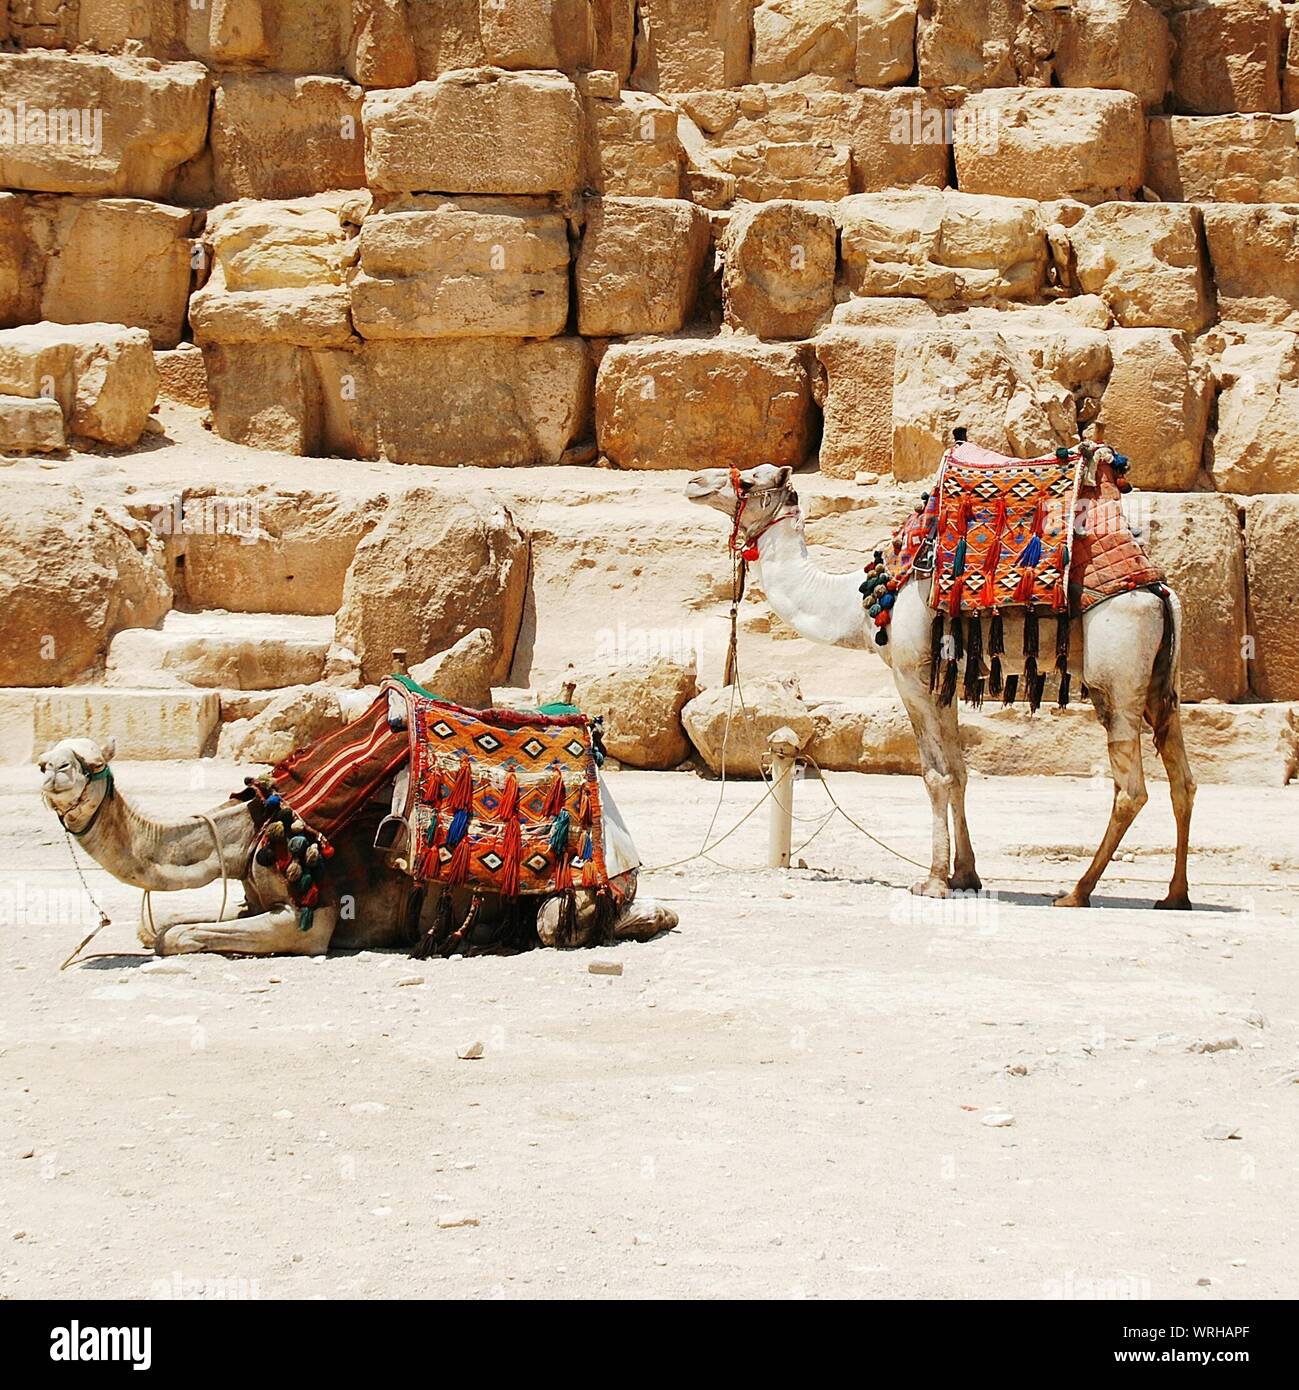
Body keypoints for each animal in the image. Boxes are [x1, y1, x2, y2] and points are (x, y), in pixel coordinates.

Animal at [39, 735, 676, 957]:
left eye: (84, 762)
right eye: (51, 754)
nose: (47, 768)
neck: (251, 832)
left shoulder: (312, 913)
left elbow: (175, 937)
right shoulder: (255, 898)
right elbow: (157, 927)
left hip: (584, 889)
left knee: (559, 925)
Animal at [685, 463, 1196, 910]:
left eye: (748, 481)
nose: (694, 483)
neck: (858, 603)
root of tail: (1160, 591)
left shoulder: (911, 675)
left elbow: (936, 776)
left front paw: (933, 881)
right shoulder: (943, 681)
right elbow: (960, 773)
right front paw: (965, 875)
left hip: (1118, 673)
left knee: (1132, 789)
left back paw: (1077, 892)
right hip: (1160, 684)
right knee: (1182, 781)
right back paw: (1174, 896)